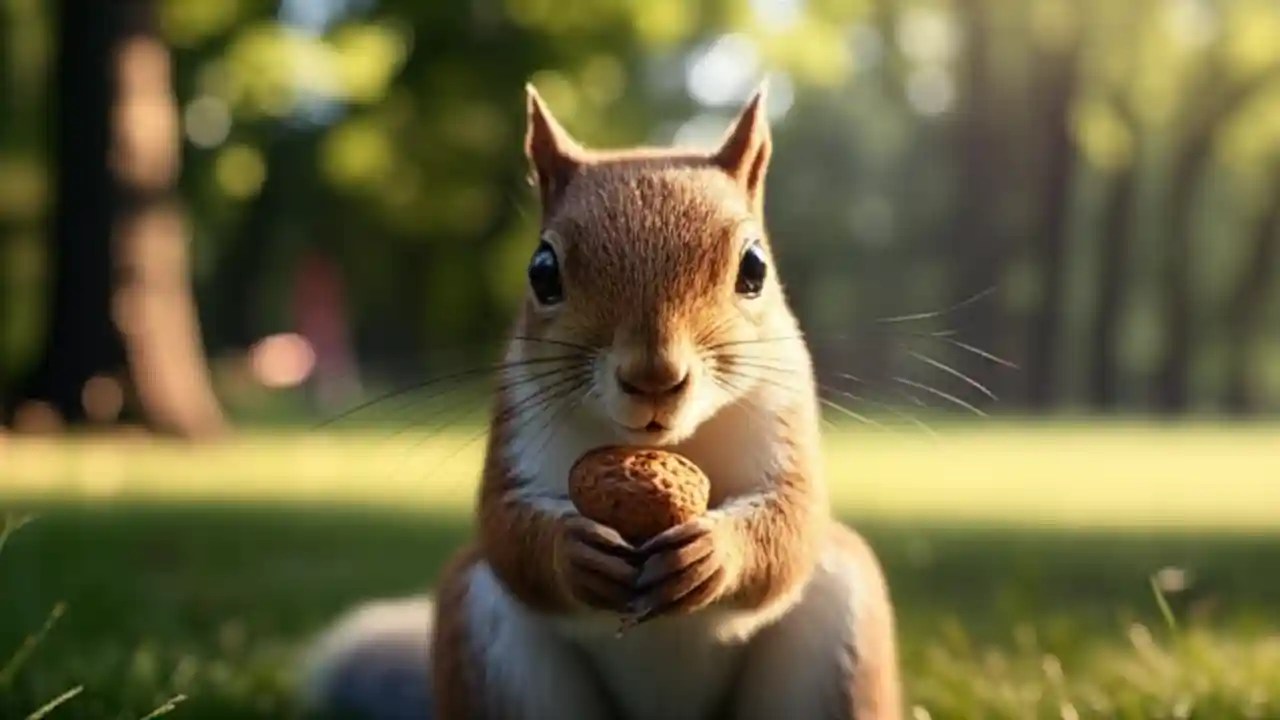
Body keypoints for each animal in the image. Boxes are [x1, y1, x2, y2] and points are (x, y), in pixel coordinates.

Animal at [300, 82, 902, 720]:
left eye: (755, 266)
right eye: (541, 270)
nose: (654, 377)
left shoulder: (784, 411)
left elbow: (796, 516)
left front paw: (714, 552)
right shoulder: (517, 421)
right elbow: (504, 522)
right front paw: (573, 552)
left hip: (843, 622)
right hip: (482, 626)